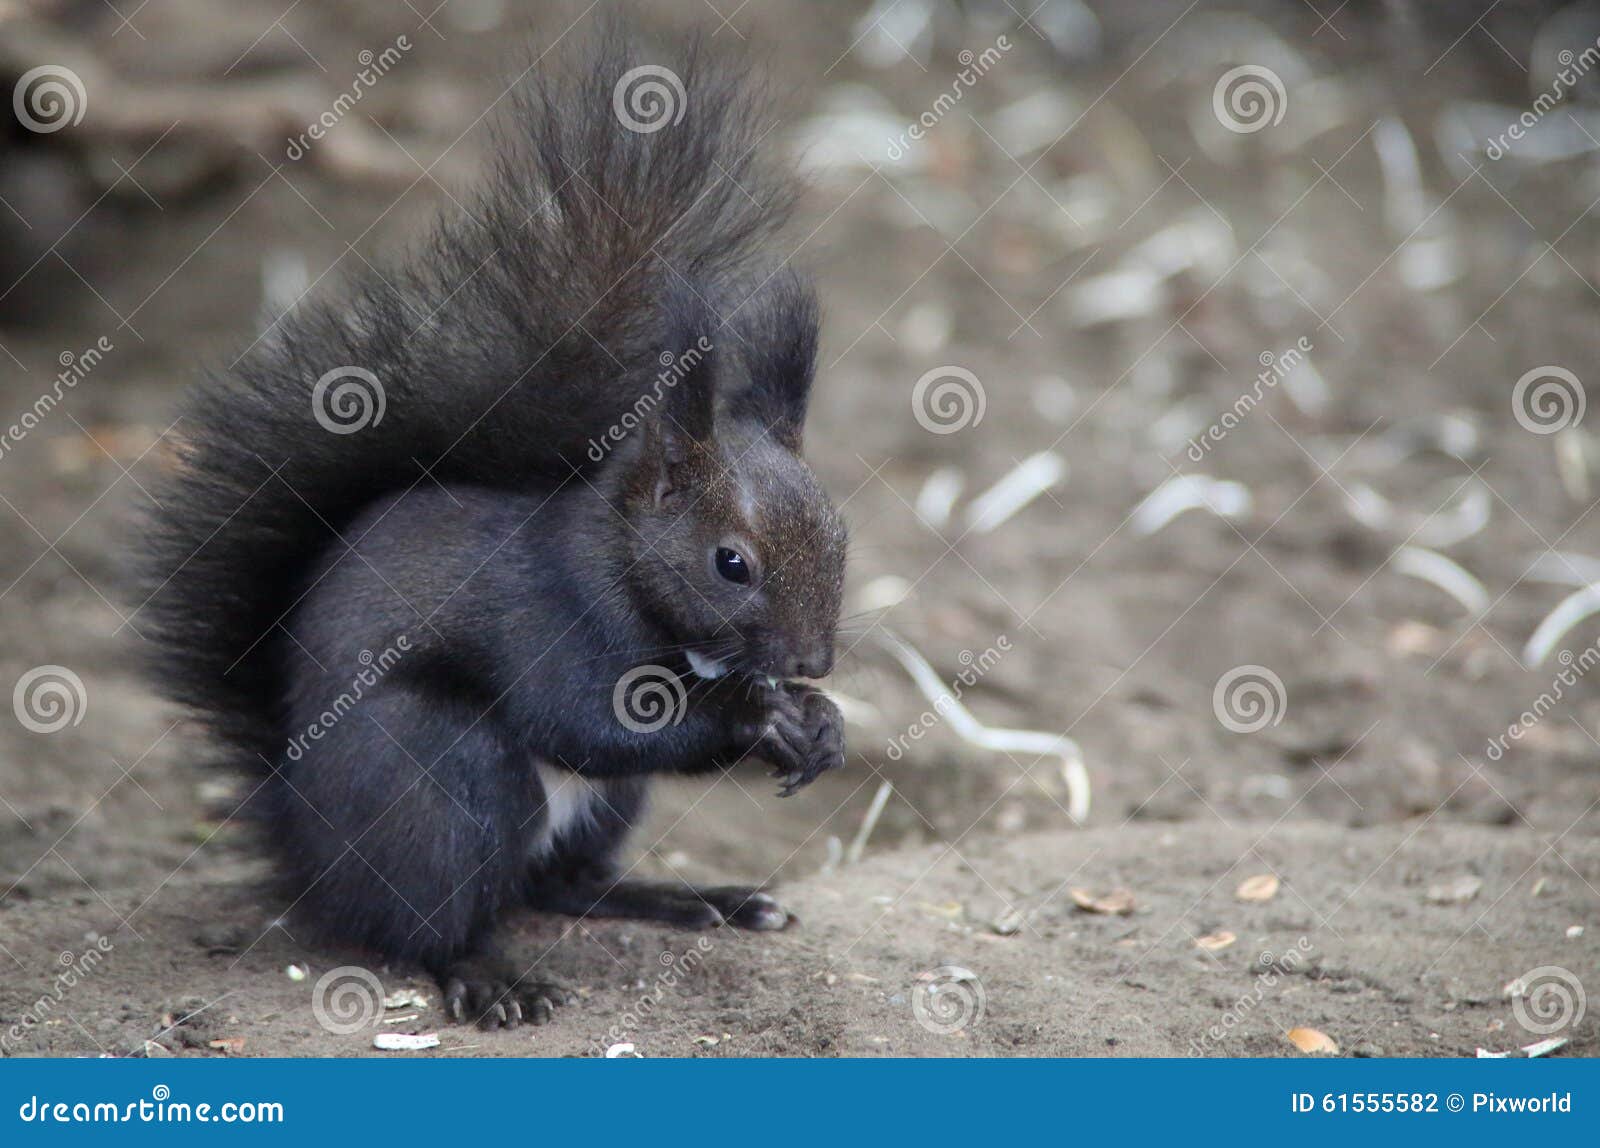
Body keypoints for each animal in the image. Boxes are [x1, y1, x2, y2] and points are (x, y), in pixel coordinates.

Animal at [137, 30, 849, 1029]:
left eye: (841, 536)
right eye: (731, 563)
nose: (814, 660)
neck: (622, 562)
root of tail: (311, 860)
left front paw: (821, 723)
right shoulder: (546, 618)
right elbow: (590, 716)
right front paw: (762, 718)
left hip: (602, 809)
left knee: (560, 884)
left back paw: (692, 899)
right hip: (442, 781)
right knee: (428, 924)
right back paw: (486, 976)